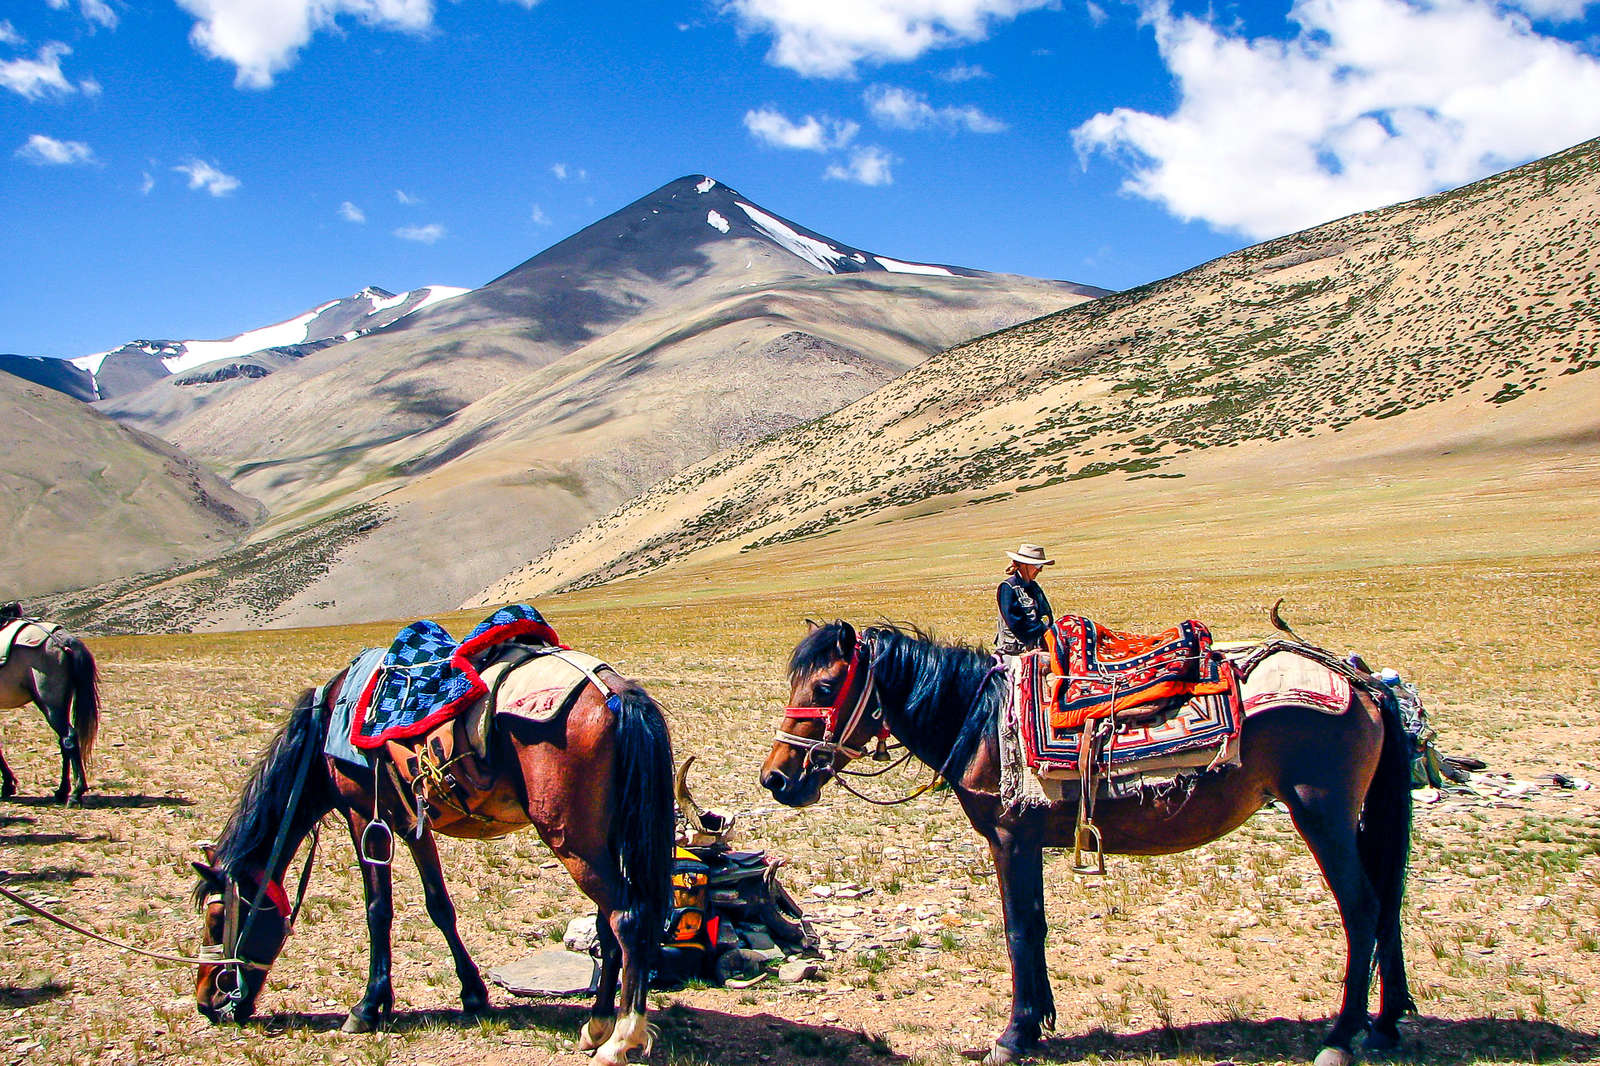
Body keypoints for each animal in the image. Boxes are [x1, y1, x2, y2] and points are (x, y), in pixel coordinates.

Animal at [0, 613, 101, 804]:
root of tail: (63, 639)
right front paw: (8, 785)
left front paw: (7, 786)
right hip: (60, 702)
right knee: (64, 741)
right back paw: (62, 791)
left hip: (49, 703)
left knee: (68, 738)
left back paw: (75, 793)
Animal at [190, 650, 675, 1066]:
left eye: (216, 919)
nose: (207, 1002)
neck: (328, 724)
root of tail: (616, 692)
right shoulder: (410, 821)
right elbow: (439, 904)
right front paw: (473, 994)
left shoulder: (363, 814)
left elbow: (377, 909)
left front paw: (368, 1007)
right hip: (602, 838)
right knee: (608, 923)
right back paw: (596, 1026)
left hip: (571, 839)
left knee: (626, 918)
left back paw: (619, 1039)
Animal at [760, 621, 1414, 1066]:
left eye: (825, 686)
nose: (776, 779)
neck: (978, 720)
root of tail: (1361, 682)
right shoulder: (1021, 842)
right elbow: (1035, 924)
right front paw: (1040, 1020)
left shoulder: (1011, 838)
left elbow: (1020, 927)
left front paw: (1015, 1034)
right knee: (1387, 906)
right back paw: (1384, 1028)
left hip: (1321, 813)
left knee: (1363, 908)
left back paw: (1340, 1038)